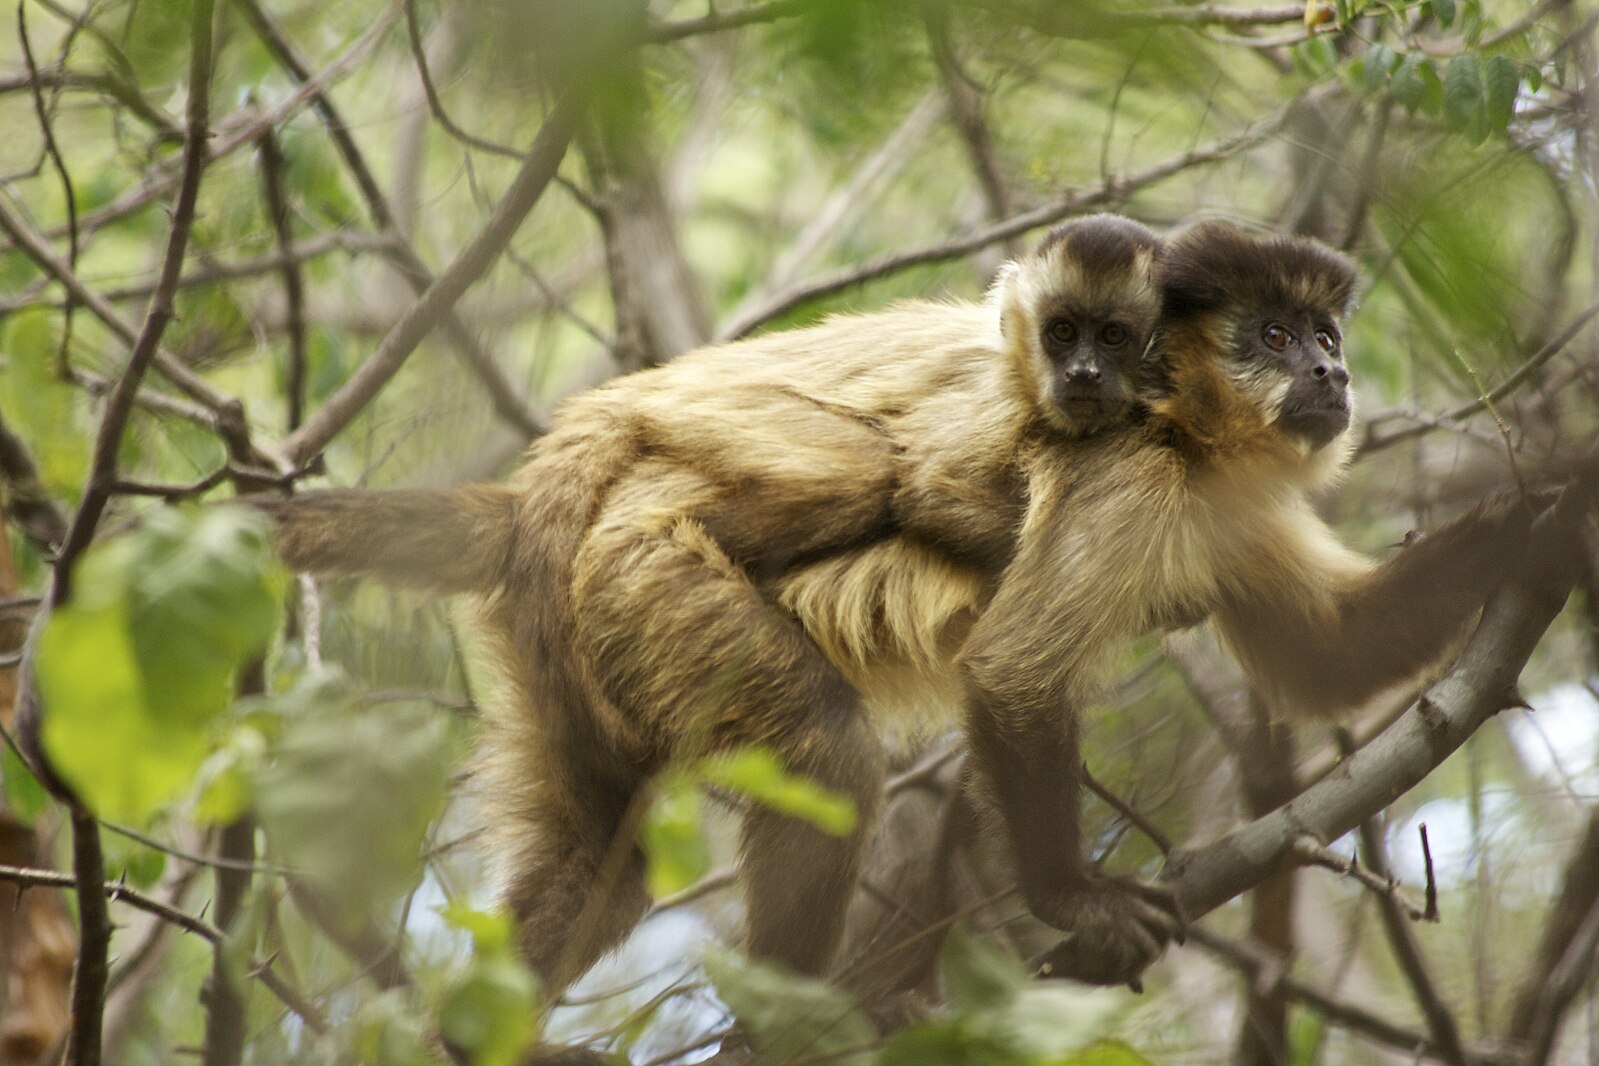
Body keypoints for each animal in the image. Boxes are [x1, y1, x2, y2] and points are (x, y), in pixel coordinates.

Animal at [257, 213, 1171, 996]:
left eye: (1113, 336)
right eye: (1062, 331)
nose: (1082, 375)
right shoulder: (1034, 423)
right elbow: (948, 525)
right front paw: (1070, 896)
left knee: (603, 860)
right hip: (649, 561)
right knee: (833, 712)